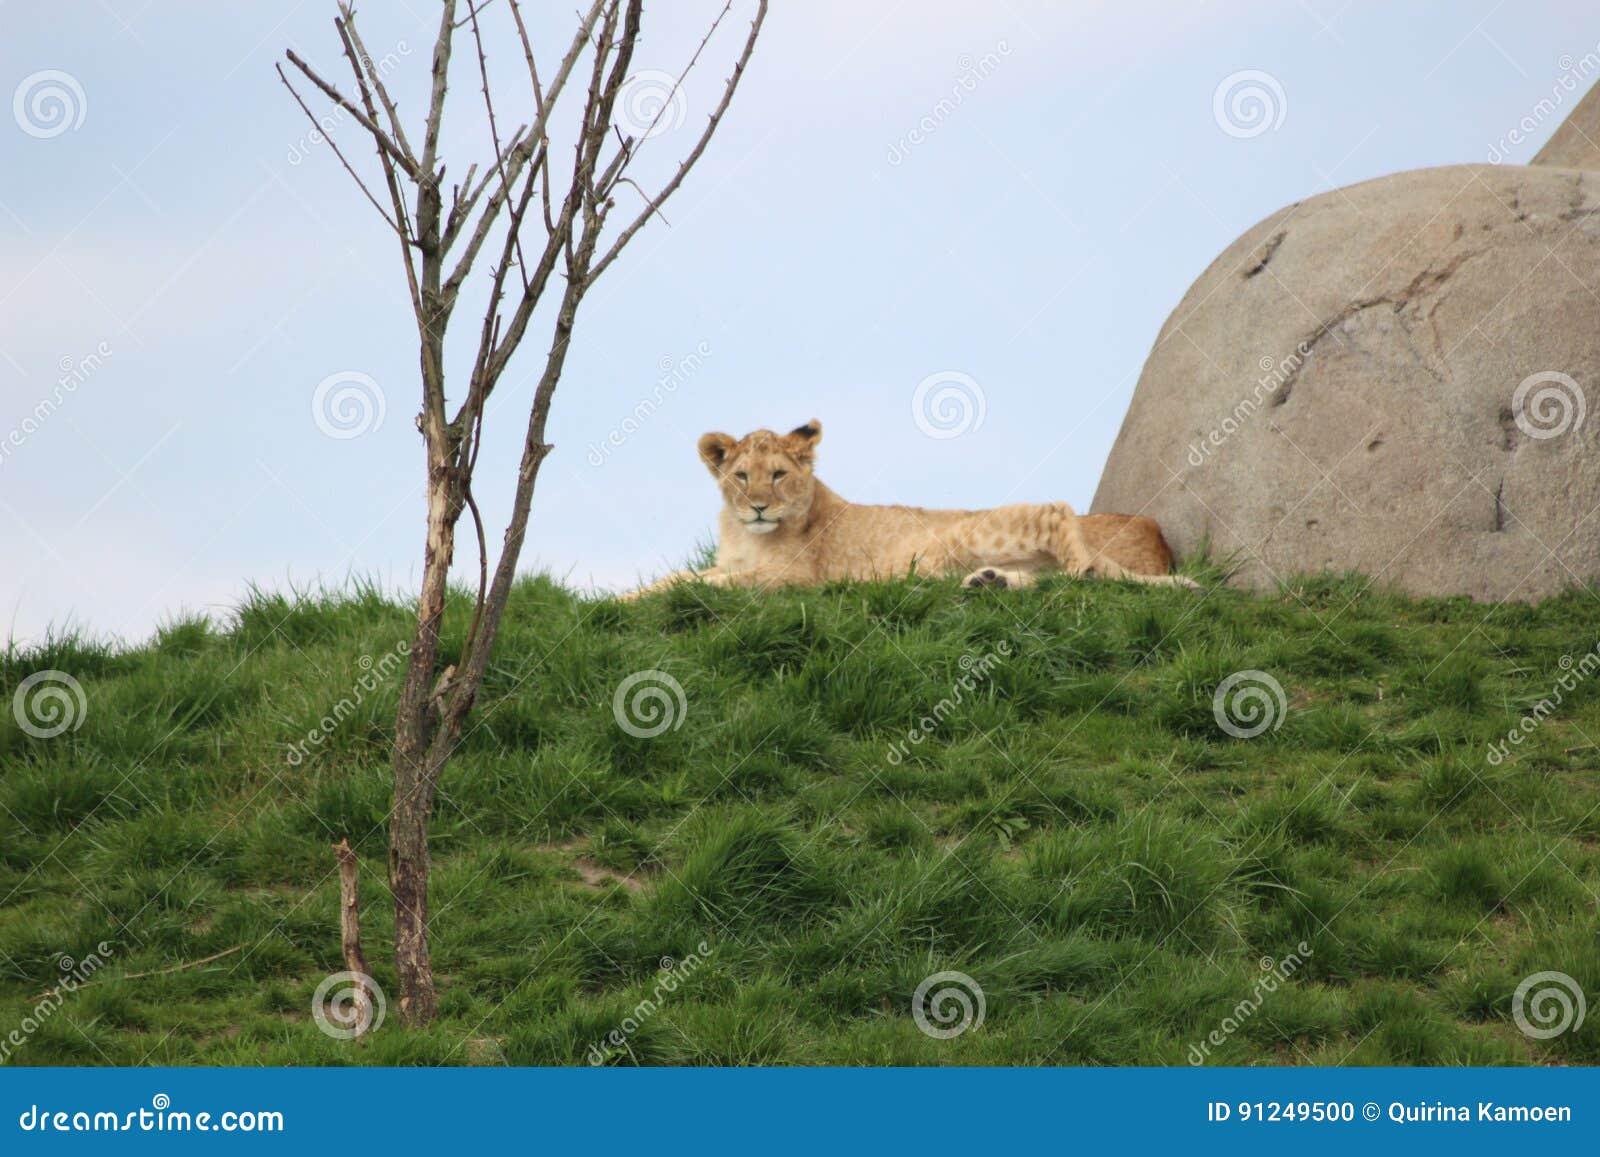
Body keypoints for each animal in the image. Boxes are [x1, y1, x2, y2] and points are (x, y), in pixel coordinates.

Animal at [626, 421, 1197, 597]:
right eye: (742, 476)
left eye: (779, 475)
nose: (760, 507)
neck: (746, 533)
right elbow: (685, 578)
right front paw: (627, 596)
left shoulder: (795, 579)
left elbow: (707, 585)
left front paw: (631, 601)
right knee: (1051, 577)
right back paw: (988, 582)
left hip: (979, 531)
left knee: (1063, 526)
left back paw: (1081, 569)